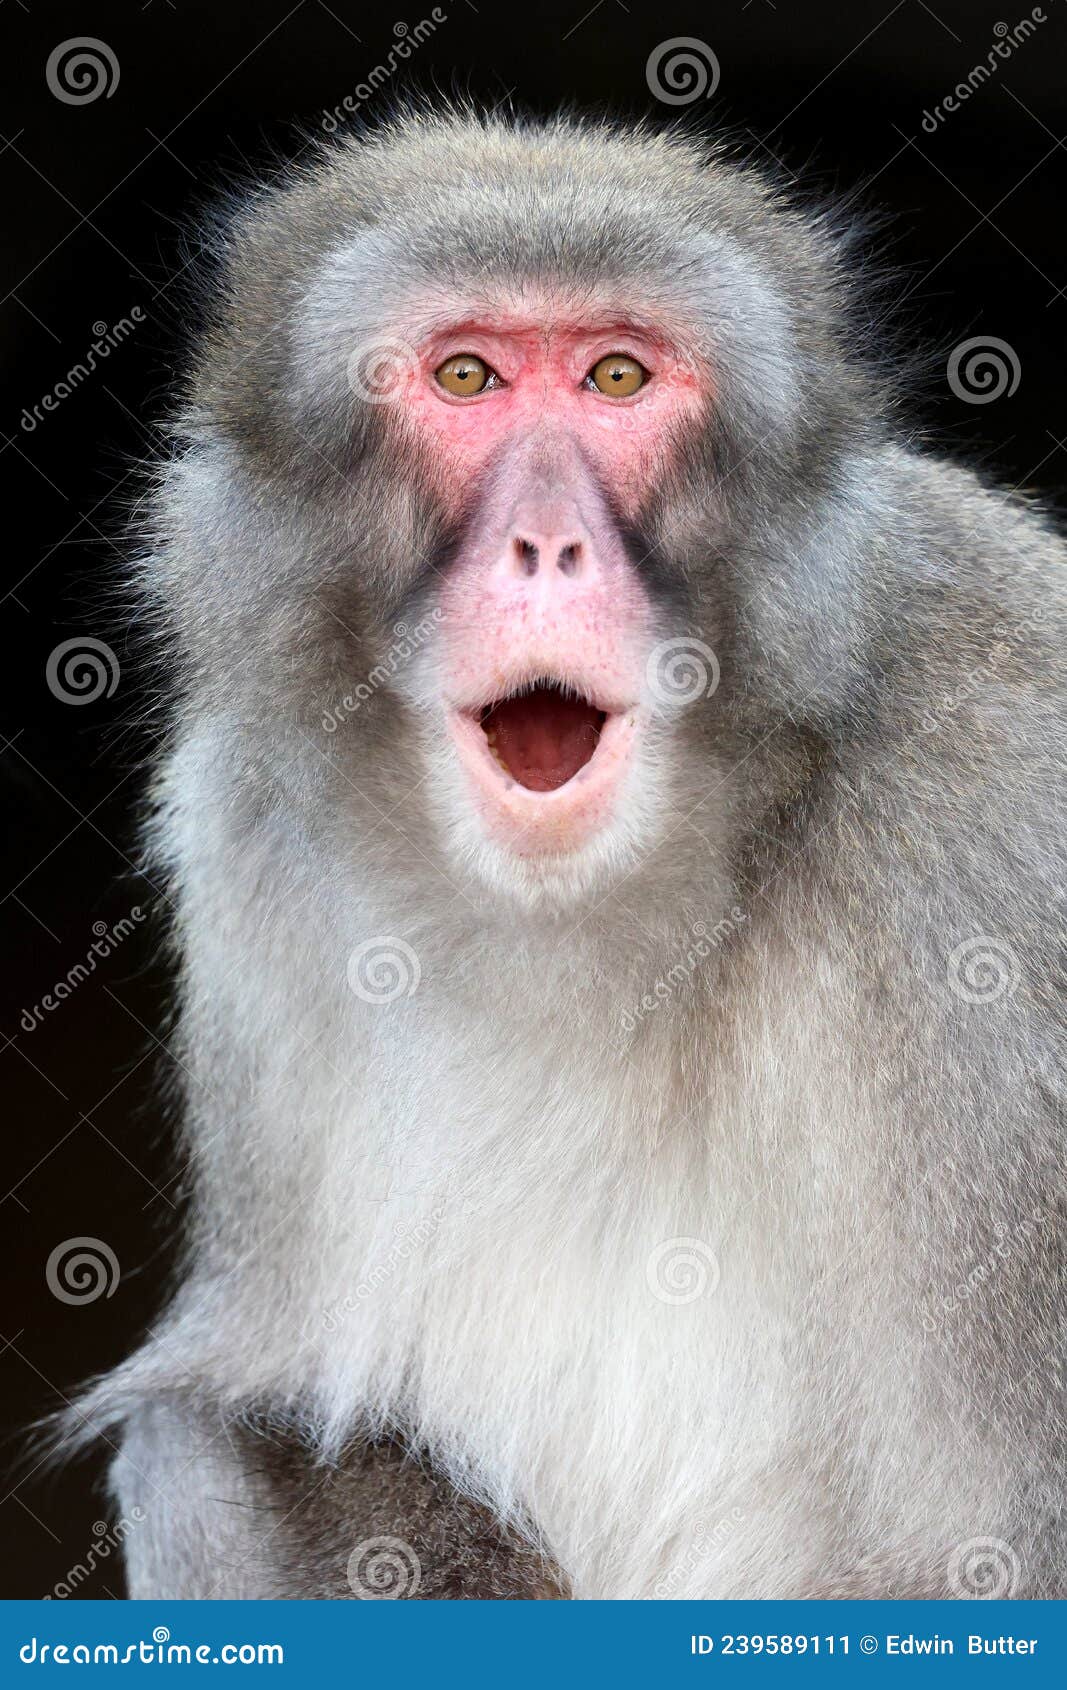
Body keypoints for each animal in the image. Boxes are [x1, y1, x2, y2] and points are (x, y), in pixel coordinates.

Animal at [70, 109, 1064, 1601]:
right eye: (465, 376)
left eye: (614, 377)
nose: (547, 544)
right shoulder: (241, 839)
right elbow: (240, 1421)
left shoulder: (993, 852)